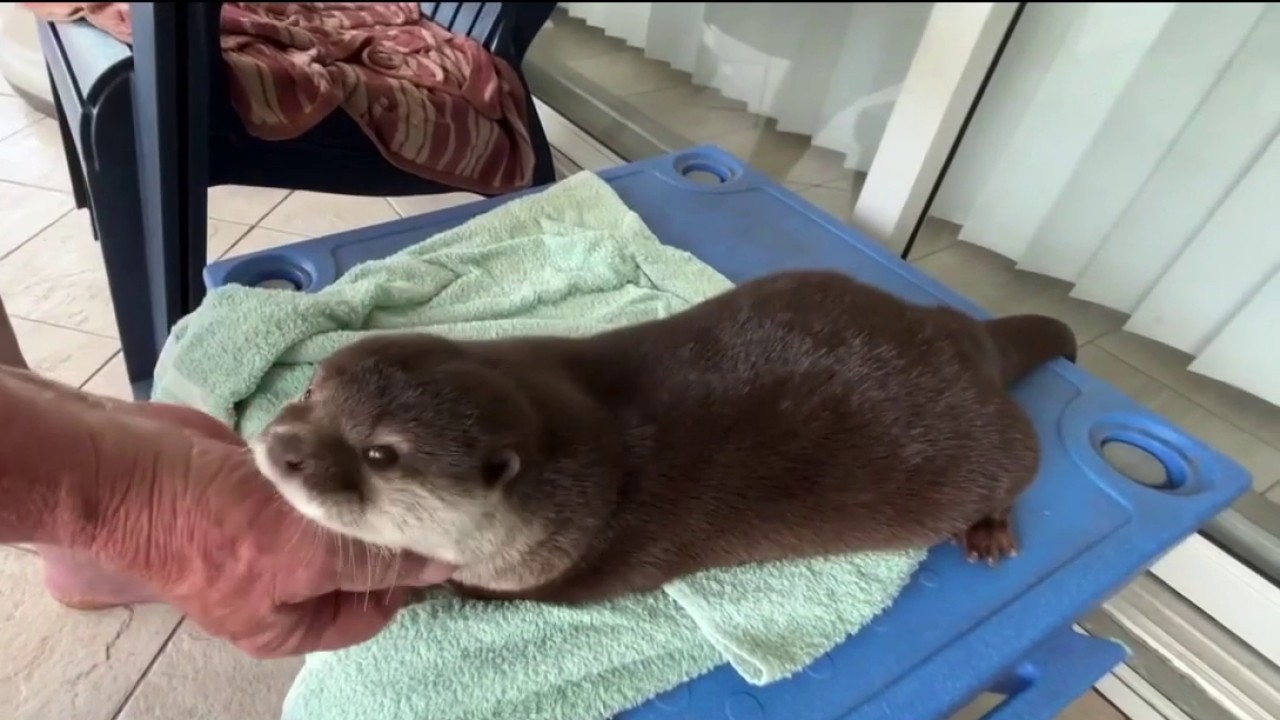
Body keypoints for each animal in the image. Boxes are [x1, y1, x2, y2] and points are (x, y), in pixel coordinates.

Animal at [250, 269, 1077, 604]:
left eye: (379, 454)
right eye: (312, 389)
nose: (282, 447)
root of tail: (965, 337)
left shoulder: (551, 576)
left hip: (988, 447)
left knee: (1025, 463)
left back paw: (990, 533)